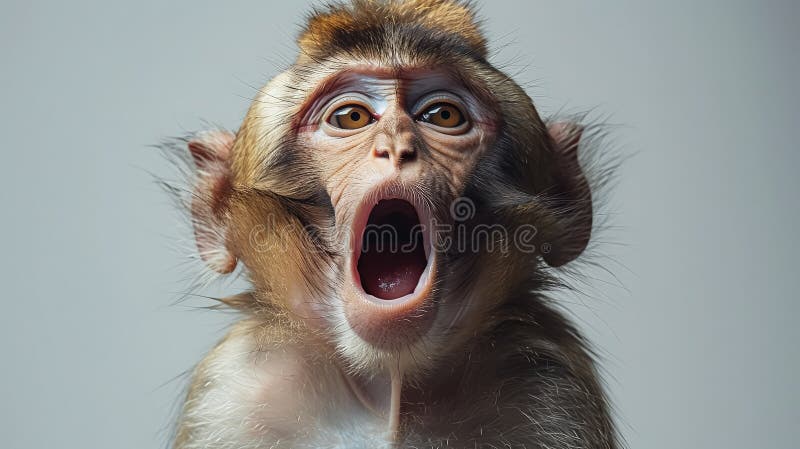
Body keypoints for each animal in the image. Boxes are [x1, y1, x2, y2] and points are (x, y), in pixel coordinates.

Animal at [167, 1, 619, 448]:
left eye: (442, 115)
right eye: (351, 117)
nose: (398, 147)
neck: (388, 391)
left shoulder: (551, 388)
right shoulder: (231, 393)